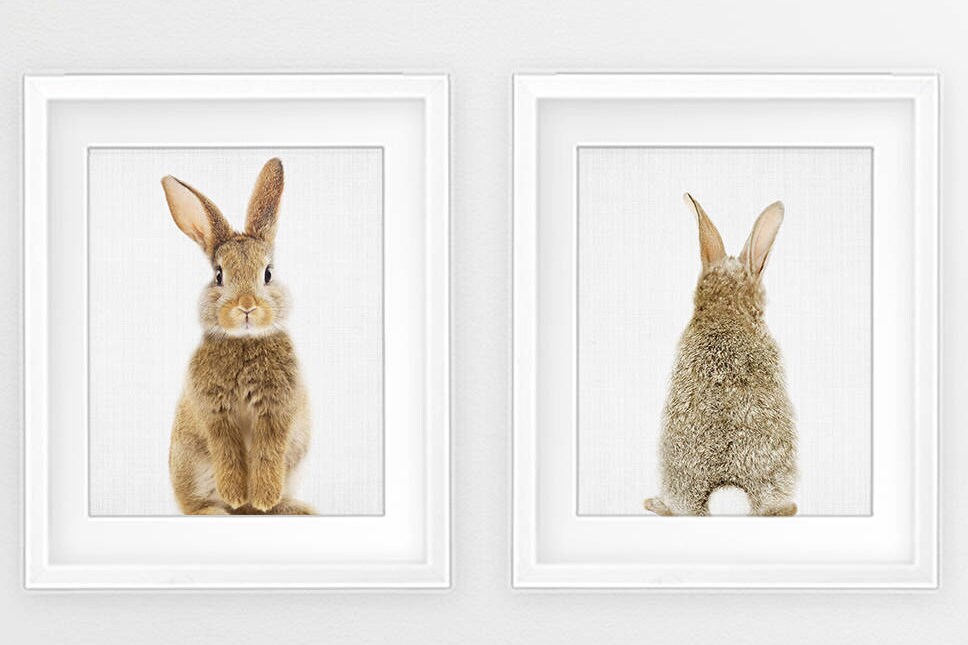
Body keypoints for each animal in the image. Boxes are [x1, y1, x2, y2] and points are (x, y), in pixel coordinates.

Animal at [161, 158, 314, 515]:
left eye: (268, 274)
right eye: (219, 275)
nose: (246, 305)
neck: (244, 342)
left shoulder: (277, 411)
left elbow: (268, 454)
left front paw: (263, 497)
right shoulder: (215, 413)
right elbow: (227, 451)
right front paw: (234, 493)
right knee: (196, 505)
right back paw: (220, 510)